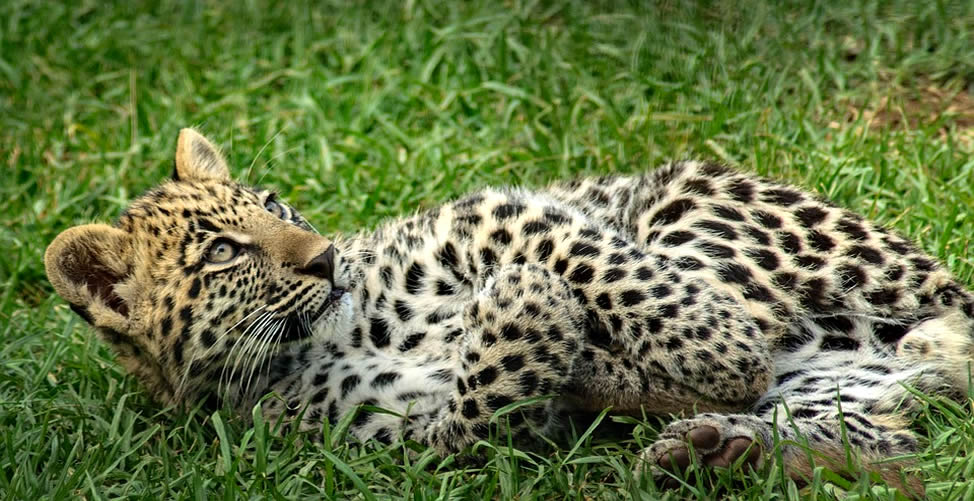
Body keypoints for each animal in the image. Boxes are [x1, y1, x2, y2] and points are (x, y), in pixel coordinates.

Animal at [45, 128, 974, 494]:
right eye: (224, 252)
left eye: (275, 204)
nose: (326, 257)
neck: (323, 337)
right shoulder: (410, 437)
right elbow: (481, 403)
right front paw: (536, 319)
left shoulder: (496, 215)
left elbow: (594, 262)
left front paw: (707, 346)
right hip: (843, 399)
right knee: (896, 442)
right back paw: (711, 447)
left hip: (692, 206)